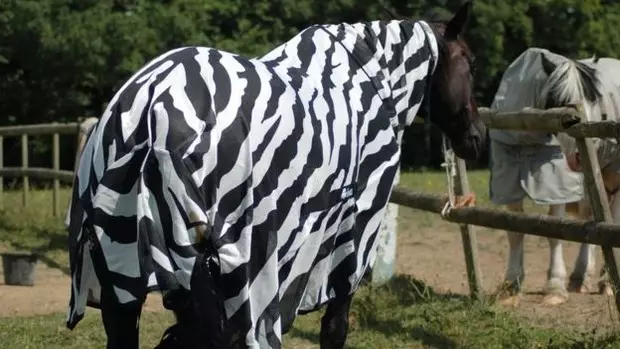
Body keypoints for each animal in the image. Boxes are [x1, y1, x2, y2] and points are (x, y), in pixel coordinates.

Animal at [64, 3, 484, 348]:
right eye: (470, 61)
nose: (477, 138)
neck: (368, 85)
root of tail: (146, 110)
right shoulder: (347, 247)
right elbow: (335, 329)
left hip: (123, 280)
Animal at [490, 47, 620, 306]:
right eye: (562, 106)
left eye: (593, 100)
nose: (585, 152)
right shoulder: (508, 177)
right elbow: (513, 230)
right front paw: (511, 285)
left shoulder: (556, 183)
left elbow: (554, 232)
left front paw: (554, 287)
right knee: (591, 215)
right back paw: (580, 277)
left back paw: (607, 284)